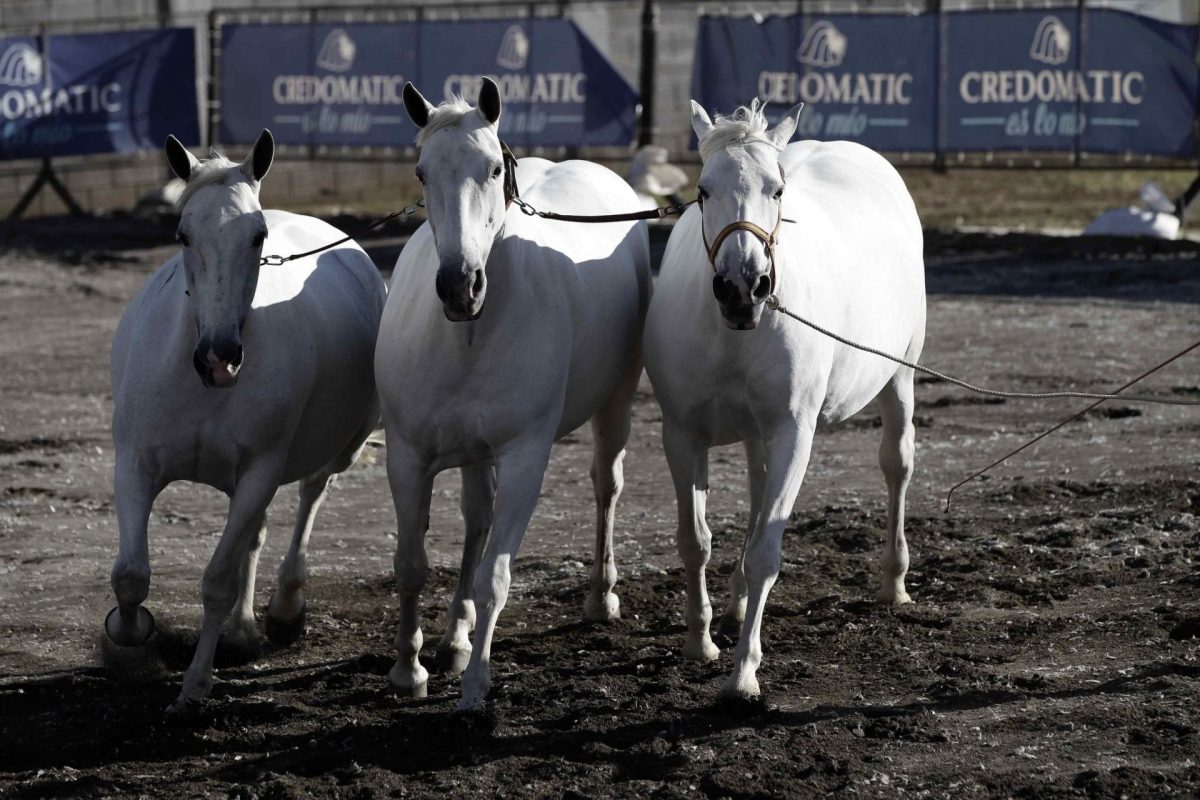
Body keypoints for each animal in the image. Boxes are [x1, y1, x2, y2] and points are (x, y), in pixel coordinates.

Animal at [105, 130, 387, 712]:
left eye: (257, 236)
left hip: (335, 450)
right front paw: (128, 632)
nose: (219, 357)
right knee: (251, 538)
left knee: (310, 495)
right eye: (182, 234)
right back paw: (242, 629)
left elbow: (215, 581)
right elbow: (131, 575)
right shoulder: (135, 465)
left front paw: (194, 685)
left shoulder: (260, 471)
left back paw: (283, 610)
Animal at [375, 78, 651, 711]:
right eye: (422, 172)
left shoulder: (526, 455)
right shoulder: (407, 455)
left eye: (493, 168)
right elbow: (412, 564)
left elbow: (495, 575)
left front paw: (477, 683)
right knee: (477, 519)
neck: (467, 336)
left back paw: (599, 597)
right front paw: (409, 668)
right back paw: (454, 639)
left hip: (617, 401)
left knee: (606, 486)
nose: (459, 286)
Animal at [643, 99, 926, 700]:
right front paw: (700, 641)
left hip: (900, 377)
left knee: (897, 464)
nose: (743, 285)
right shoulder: (682, 433)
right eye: (703, 189)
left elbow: (766, 552)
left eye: (777, 189)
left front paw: (743, 673)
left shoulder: (794, 431)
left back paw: (893, 579)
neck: (733, 330)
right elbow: (694, 540)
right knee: (755, 493)